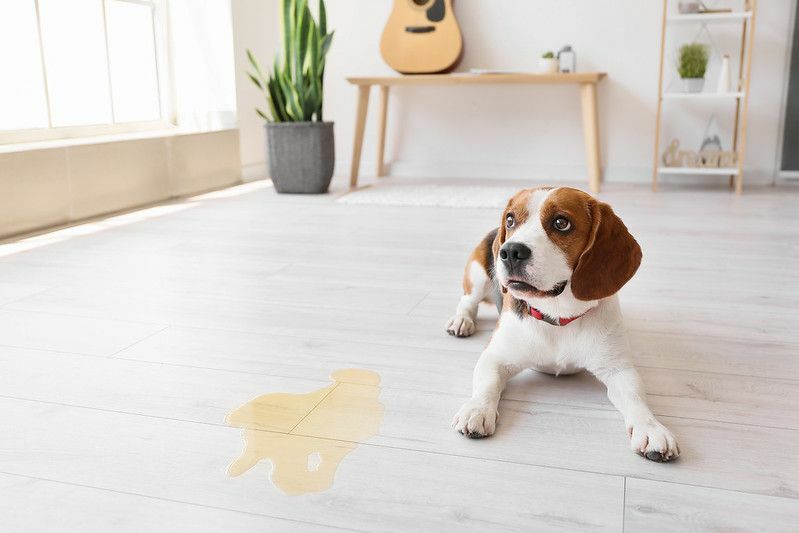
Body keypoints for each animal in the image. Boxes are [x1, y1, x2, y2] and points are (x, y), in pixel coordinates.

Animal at [446, 187, 680, 462]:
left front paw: (651, 428)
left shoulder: (618, 370)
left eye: (561, 223)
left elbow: (636, 396)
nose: (510, 251)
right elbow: (488, 383)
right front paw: (477, 410)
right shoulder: (495, 357)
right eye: (511, 220)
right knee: (467, 301)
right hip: (479, 276)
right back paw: (462, 320)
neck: (558, 318)